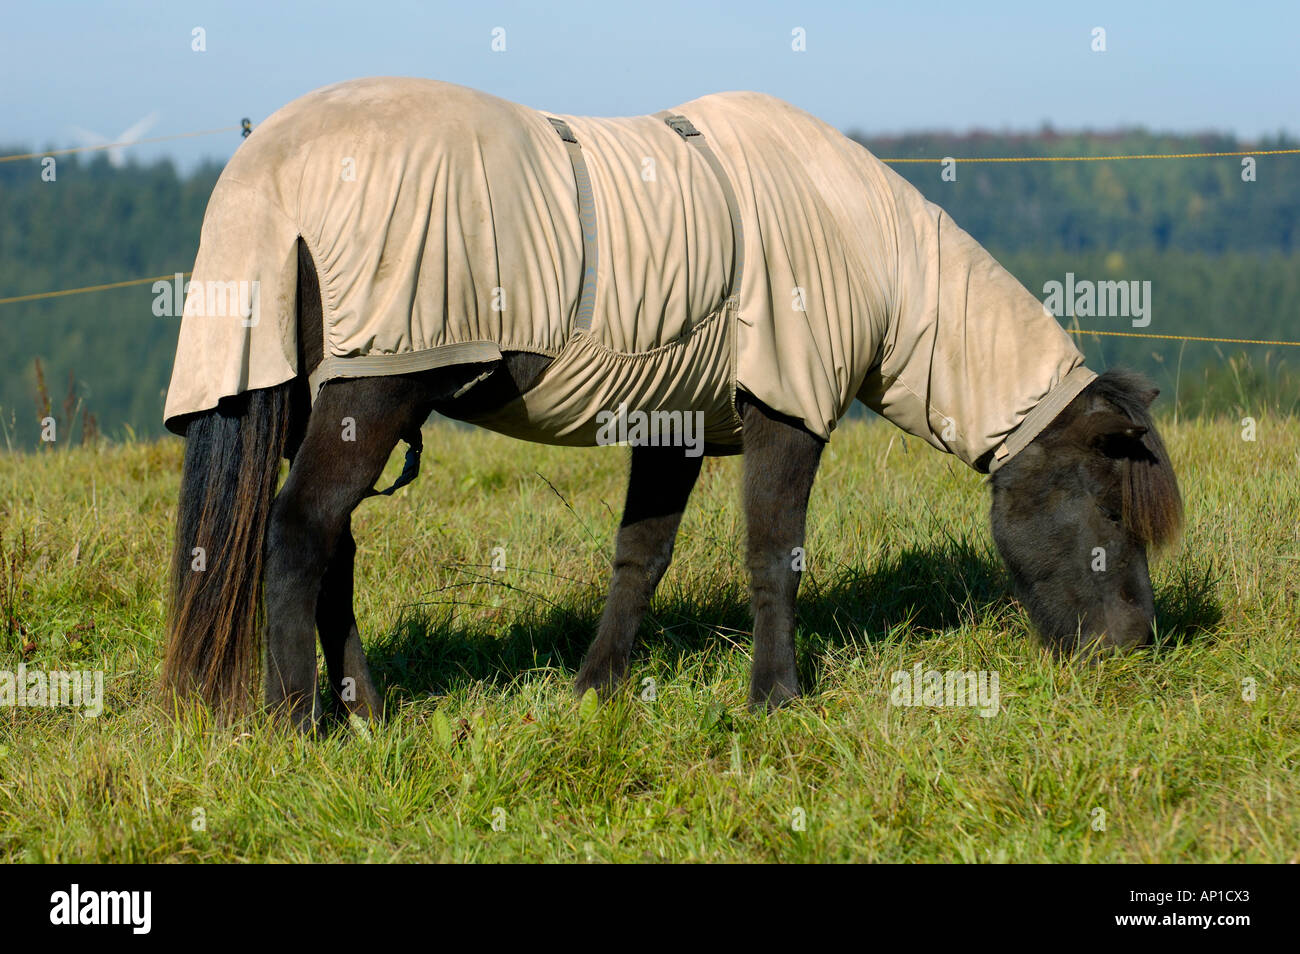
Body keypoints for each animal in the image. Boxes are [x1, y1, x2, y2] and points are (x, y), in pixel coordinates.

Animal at [159, 79, 1182, 729]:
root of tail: (264, 168)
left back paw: (366, 713)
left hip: (314, 403)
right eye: (1106, 512)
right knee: (300, 533)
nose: (1134, 647)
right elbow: (774, 555)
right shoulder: (789, 410)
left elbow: (639, 559)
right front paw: (776, 699)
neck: (866, 239)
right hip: (368, 395)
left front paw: (595, 689)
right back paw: (300, 723)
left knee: (333, 545)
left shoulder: (674, 426)